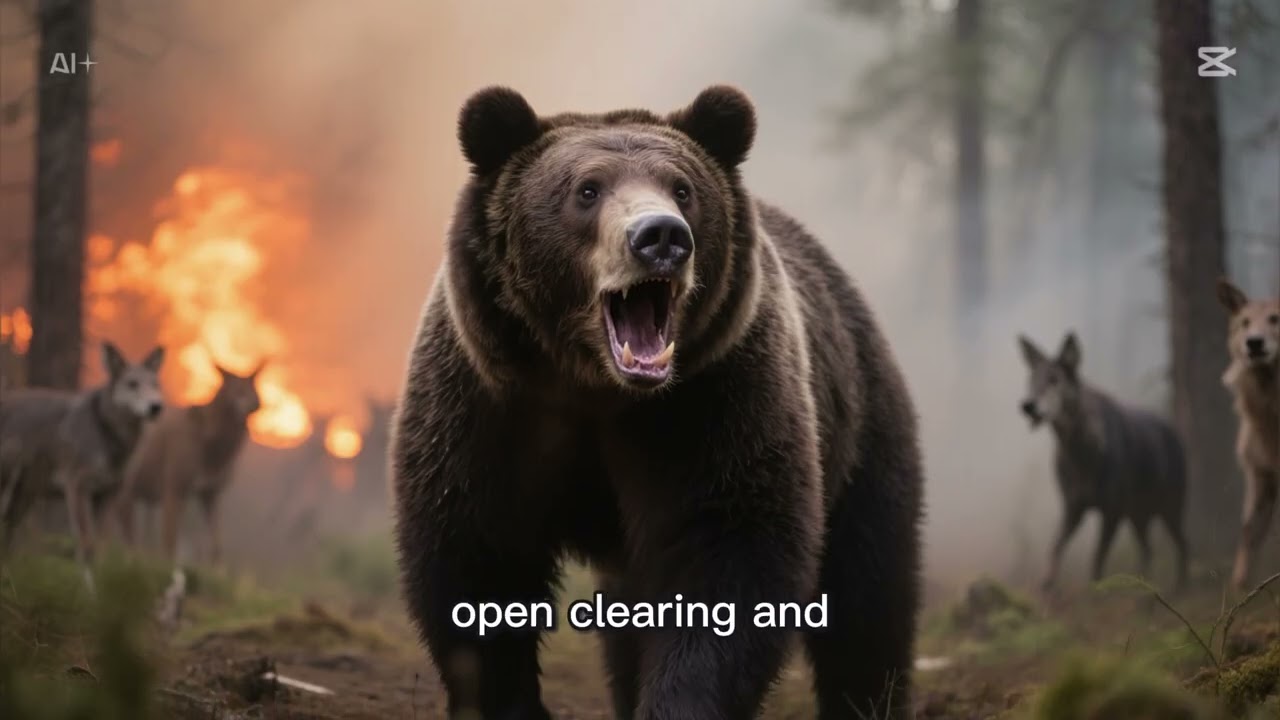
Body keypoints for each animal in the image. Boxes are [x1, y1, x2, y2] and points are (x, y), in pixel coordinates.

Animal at [391, 85, 925, 719]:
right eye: (587, 189)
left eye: (683, 188)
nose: (661, 236)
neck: (594, 388)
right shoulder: (488, 407)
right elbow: (476, 560)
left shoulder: (713, 402)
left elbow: (726, 558)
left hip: (860, 426)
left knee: (869, 592)